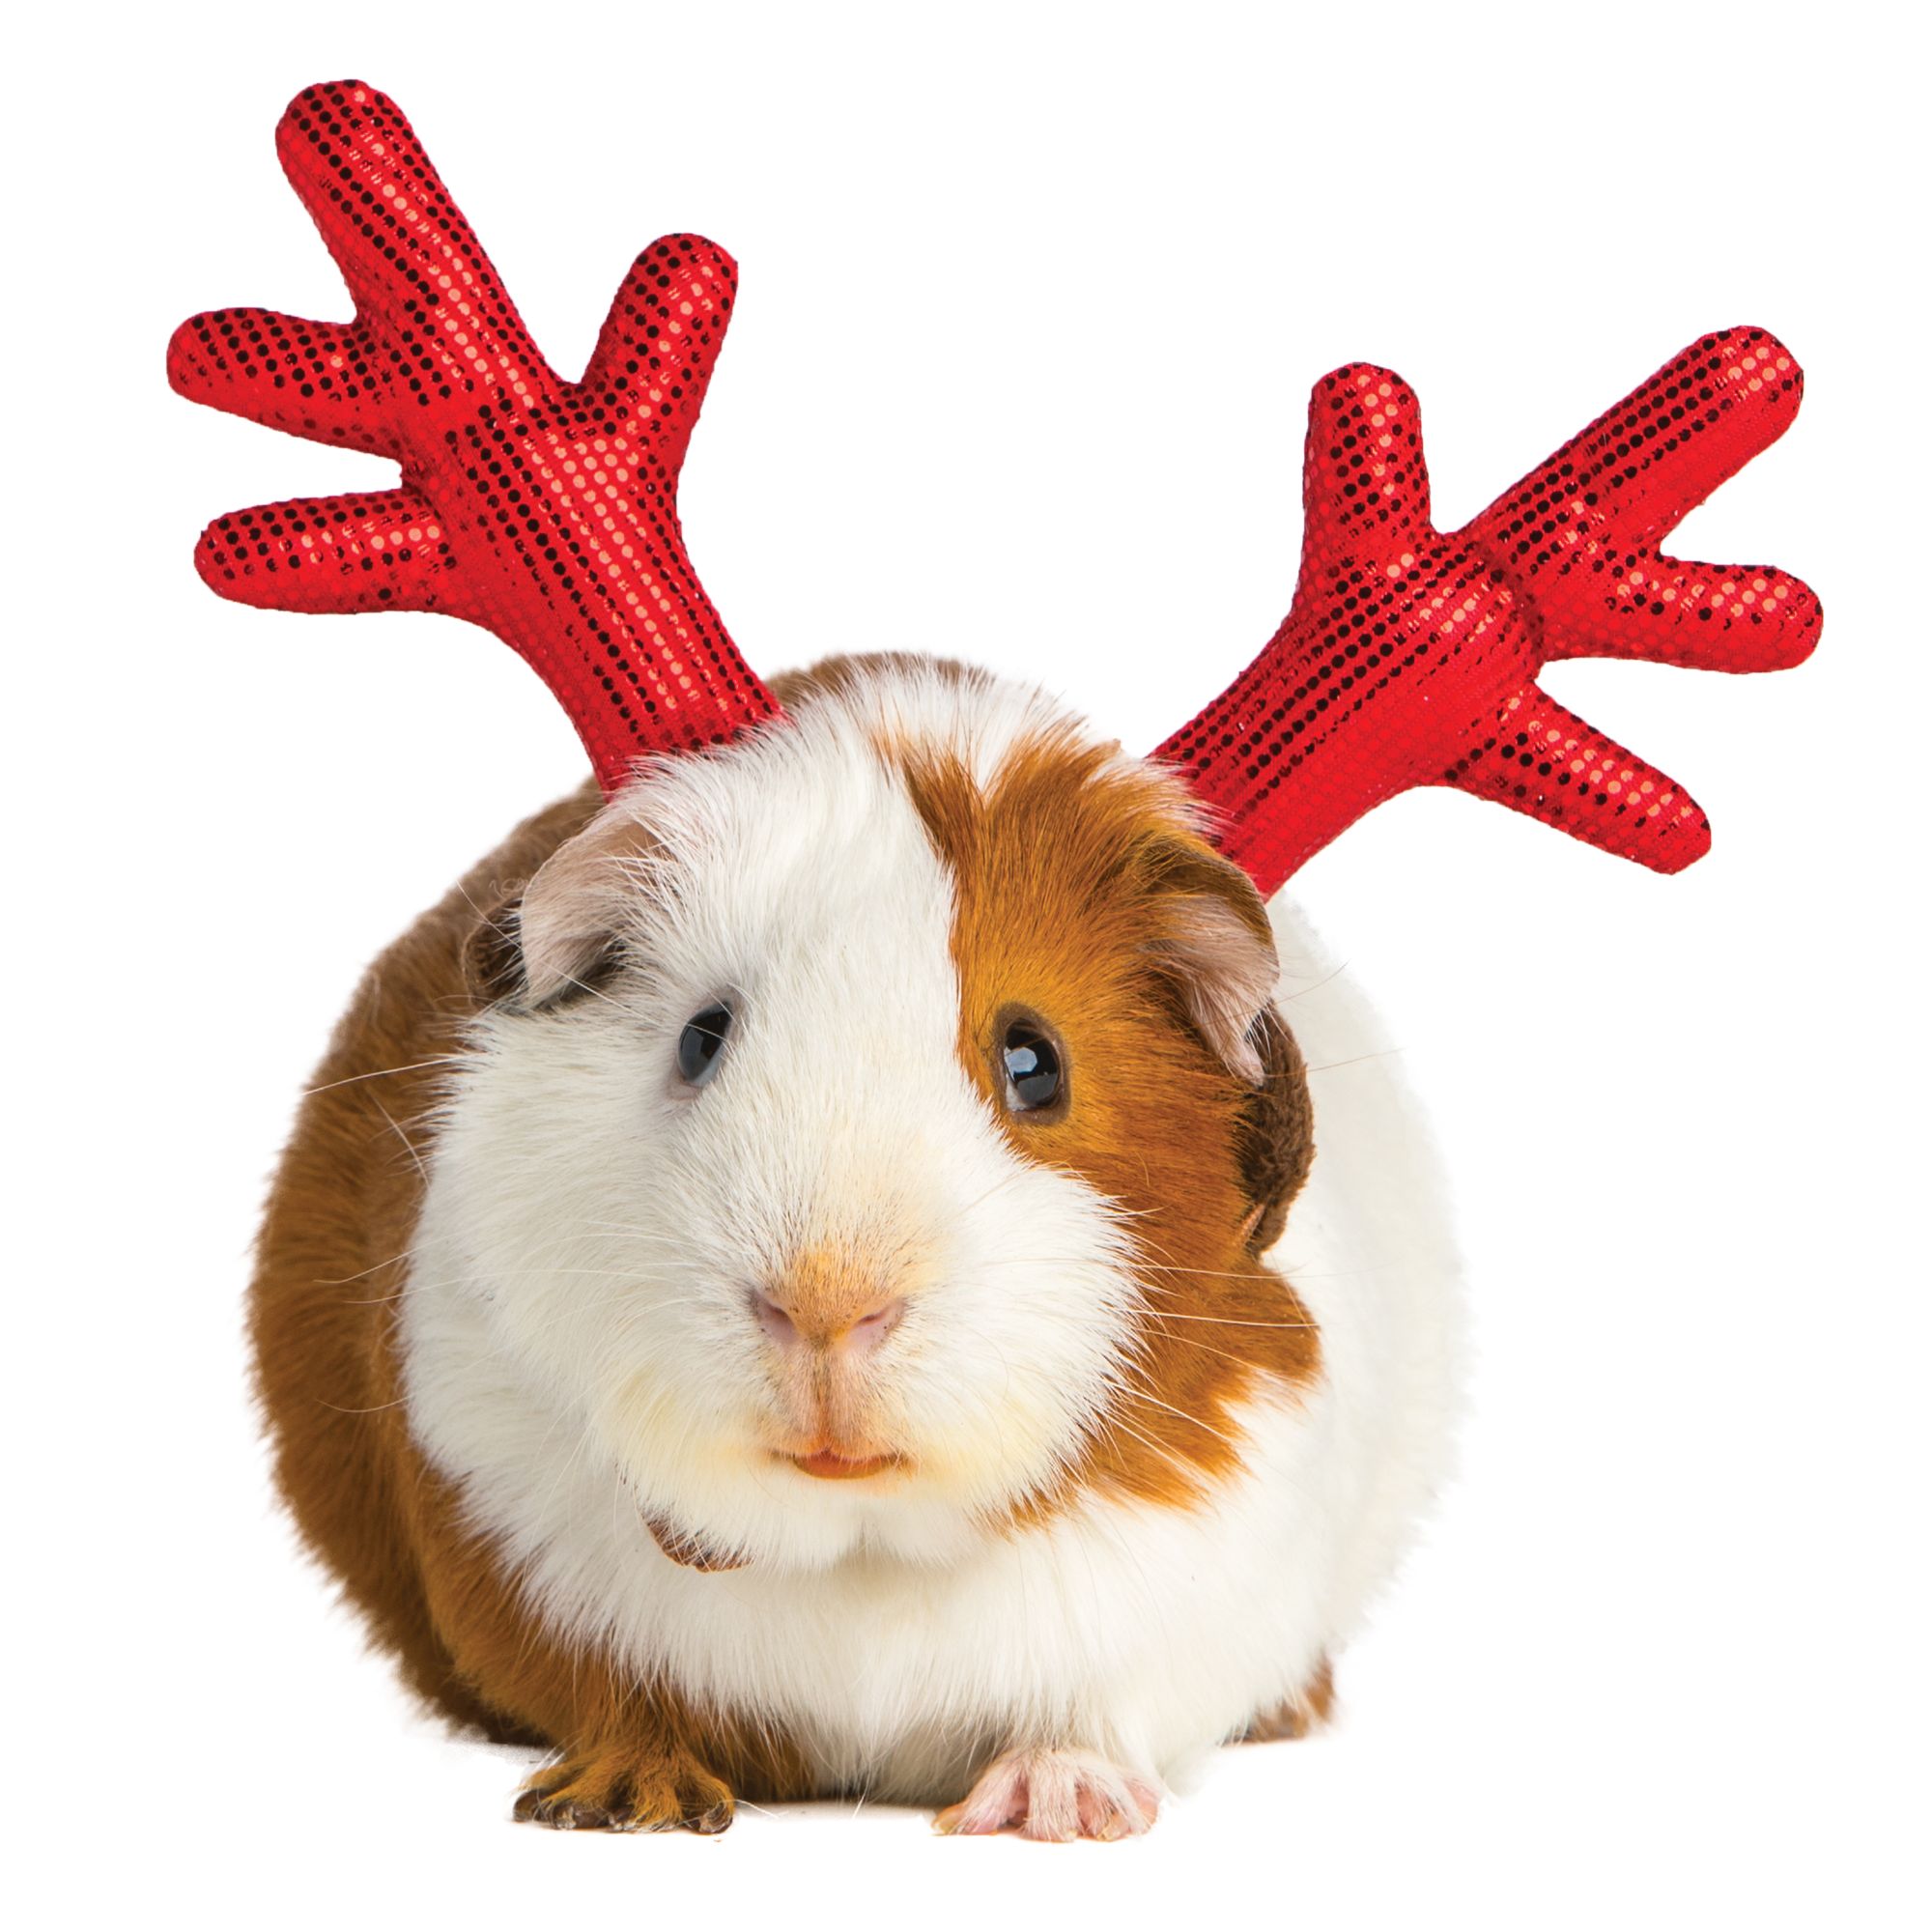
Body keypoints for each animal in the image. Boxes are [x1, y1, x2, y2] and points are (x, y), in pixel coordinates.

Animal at [251, 649, 1463, 1840]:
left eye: (1034, 1060)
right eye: (701, 1036)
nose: (825, 1304)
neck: (863, 1539)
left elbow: (1100, 1702)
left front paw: (1052, 1806)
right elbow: (616, 1687)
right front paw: (617, 1799)